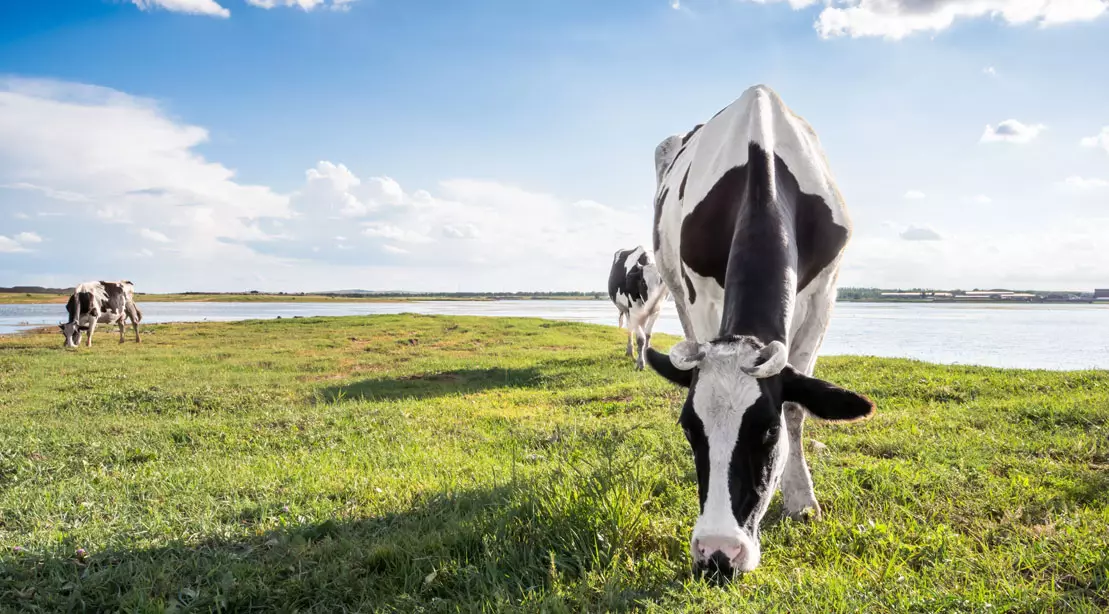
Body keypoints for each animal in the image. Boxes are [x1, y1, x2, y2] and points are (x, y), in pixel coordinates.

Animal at [643, 83, 873, 576]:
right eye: (689, 427)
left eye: (767, 431)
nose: (717, 555)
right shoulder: (701, 293)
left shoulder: (825, 293)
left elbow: (798, 406)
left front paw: (802, 500)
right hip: (672, 279)